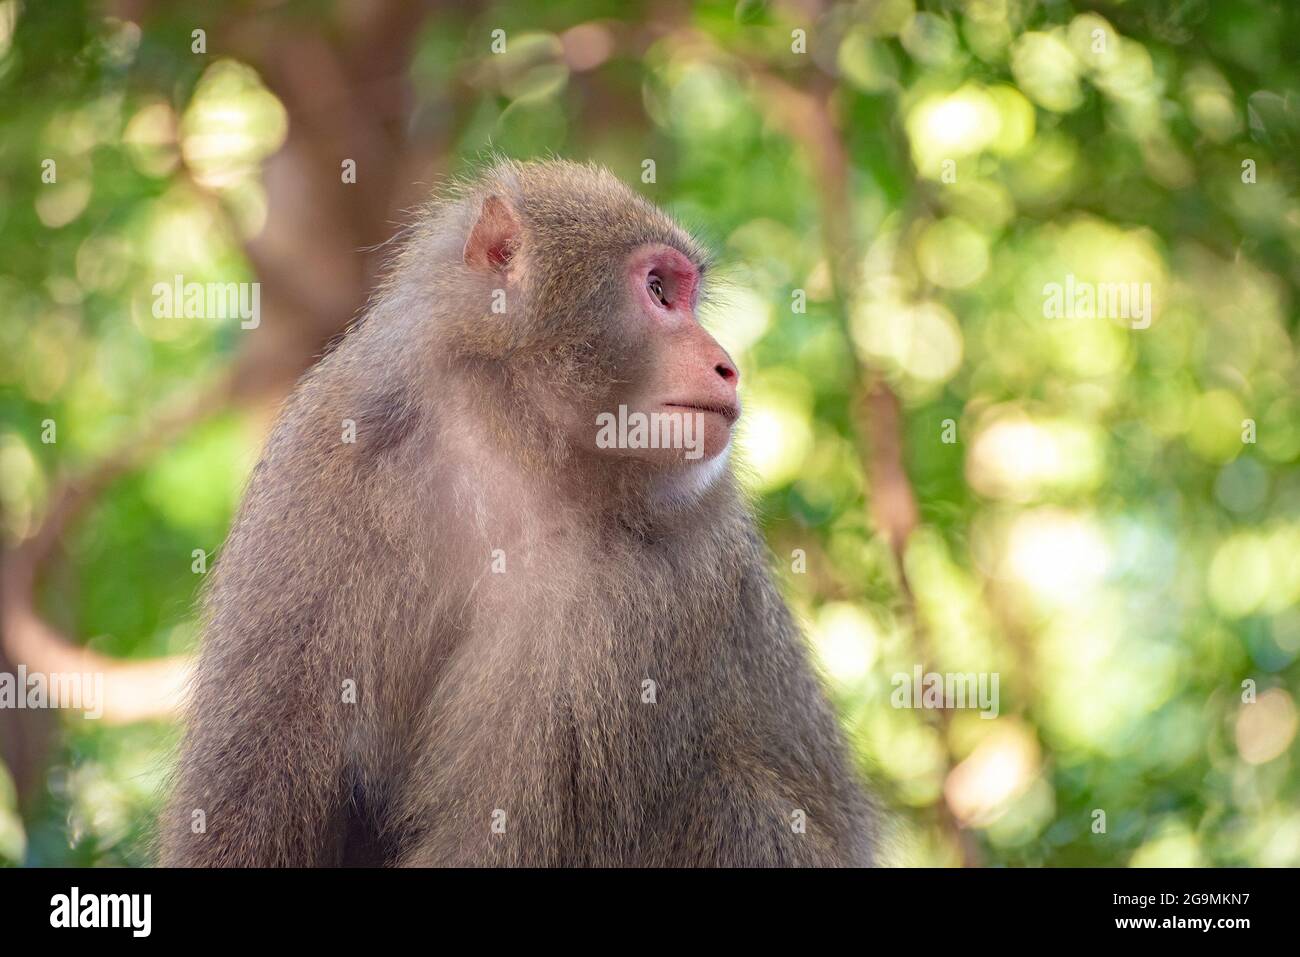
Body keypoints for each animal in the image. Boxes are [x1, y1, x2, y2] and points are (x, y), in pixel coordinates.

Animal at [160, 159, 876, 867]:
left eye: (684, 293)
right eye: (659, 290)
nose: (728, 367)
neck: (509, 451)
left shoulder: (619, 602)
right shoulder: (326, 463)